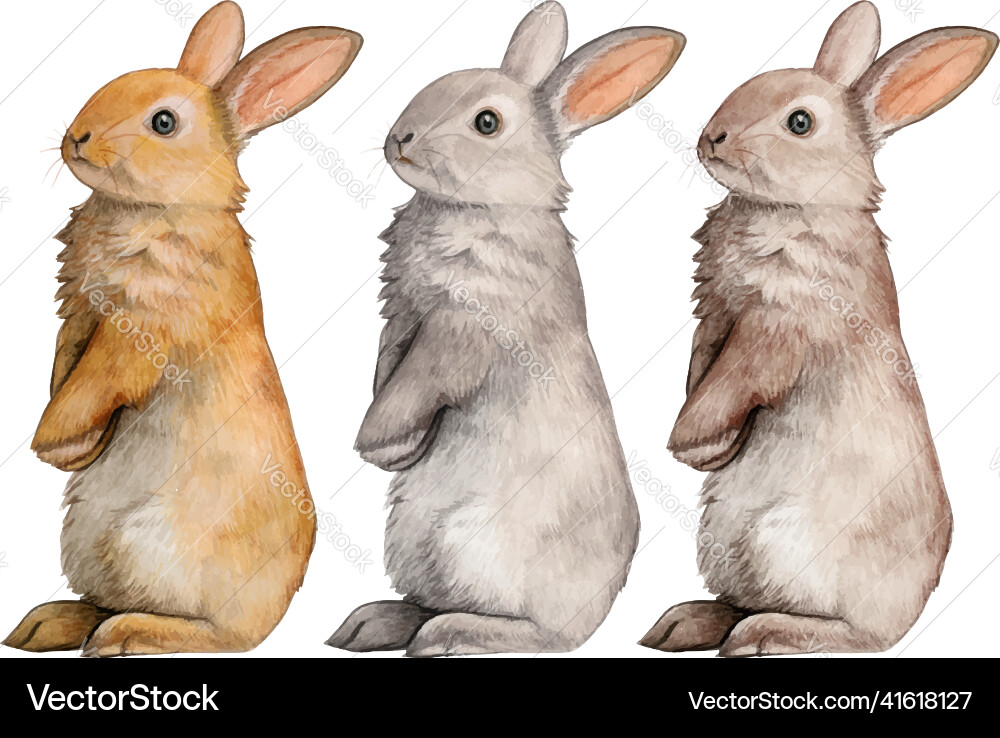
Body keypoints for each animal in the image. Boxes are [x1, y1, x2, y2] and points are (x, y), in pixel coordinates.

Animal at [3, 2, 362, 656]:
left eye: (164, 122)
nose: (77, 137)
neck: (157, 209)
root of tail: (279, 609)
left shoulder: (138, 333)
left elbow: (90, 383)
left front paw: (50, 444)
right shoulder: (79, 317)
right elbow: (64, 369)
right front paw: (75, 454)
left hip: (160, 553)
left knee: (212, 634)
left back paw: (121, 637)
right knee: (105, 603)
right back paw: (42, 625)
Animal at [326, 1, 685, 656]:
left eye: (487, 123)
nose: (400, 138)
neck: (480, 208)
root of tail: (600, 610)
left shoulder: (459, 331)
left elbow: (412, 385)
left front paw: (375, 446)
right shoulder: (401, 320)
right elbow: (386, 371)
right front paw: (399, 454)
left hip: (475, 545)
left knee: (535, 634)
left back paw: (445, 637)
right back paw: (368, 624)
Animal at [639, 1, 996, 657]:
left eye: (800, 122)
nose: (712, 137)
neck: (794, 208)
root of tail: (916, 605)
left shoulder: (775, 331)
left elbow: (727, 383)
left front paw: (689, 445)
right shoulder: (715, 318)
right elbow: (700, 371)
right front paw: (713, 454)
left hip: (794, 549)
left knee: (850, 634)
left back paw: (758, 637)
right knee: (742, 602)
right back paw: (680, 625)